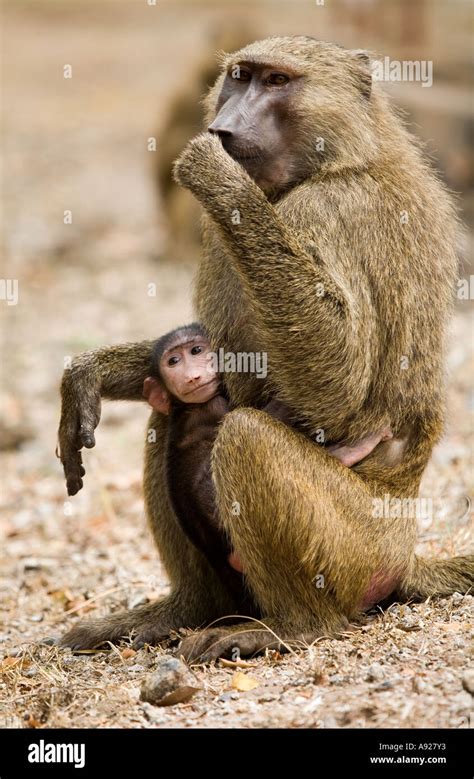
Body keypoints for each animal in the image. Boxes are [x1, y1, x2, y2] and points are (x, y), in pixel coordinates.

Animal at [58, 37, 473, 662]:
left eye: (277, 81)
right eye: (240, 76)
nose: (225, 127)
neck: (336, 160)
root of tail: (405, 546)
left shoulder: (329, 210)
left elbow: (338, 384)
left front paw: (217, 175)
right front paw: (91, 374)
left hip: (361, 546)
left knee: (246, 438)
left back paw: (291, 626)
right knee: (170, 418)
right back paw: (182, 613)